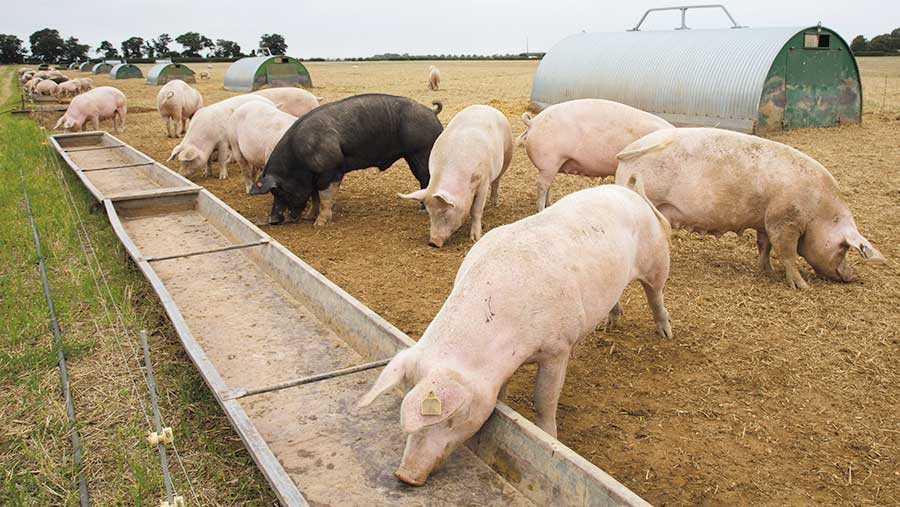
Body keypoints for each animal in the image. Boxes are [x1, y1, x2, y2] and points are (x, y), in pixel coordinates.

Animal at [250, 93, 443, 226]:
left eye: (279, 191)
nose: (273, 220)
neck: (297, 161)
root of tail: (431, 111)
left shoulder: (330, 169)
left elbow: (324, 196)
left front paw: (318, 223)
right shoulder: (315, 176)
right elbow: (314, 196)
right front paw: (309, 217)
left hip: (421, 152)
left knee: (426, 179)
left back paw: (422, 210)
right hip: (412, 155)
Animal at [358, 176, 673, 486]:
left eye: (448, 417)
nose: (405, 475)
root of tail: (629, 191)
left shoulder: (558, 348)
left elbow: (544, 401)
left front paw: (550, 438)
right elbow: (502, 396)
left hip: (657, 260)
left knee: (656, 295)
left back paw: (665, 335)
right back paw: (611, 324)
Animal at [399, 105, 512, 247]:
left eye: (444, 212)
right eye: (430, 214)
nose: (433, 242)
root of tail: (487, 107)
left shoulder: (483, 181)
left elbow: (476, 210)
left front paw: (475, 238)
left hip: (507, 154)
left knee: (496, 181)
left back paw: (493, 204)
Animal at [520, 98, 673, 212]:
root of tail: (533, 122)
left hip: (551, 166)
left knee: (548, 185)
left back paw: (550, 204)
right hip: (548, 162)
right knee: (542, 185)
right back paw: (542, 209)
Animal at [615, 128, 885, 289]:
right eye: (843, 248)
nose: (852, 275)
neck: (820, 211)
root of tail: (628, 150)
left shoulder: (765, 220)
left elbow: (764, 246)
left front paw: (768, 272)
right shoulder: (784, 220)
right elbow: (787, 253)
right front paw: (801, 286)